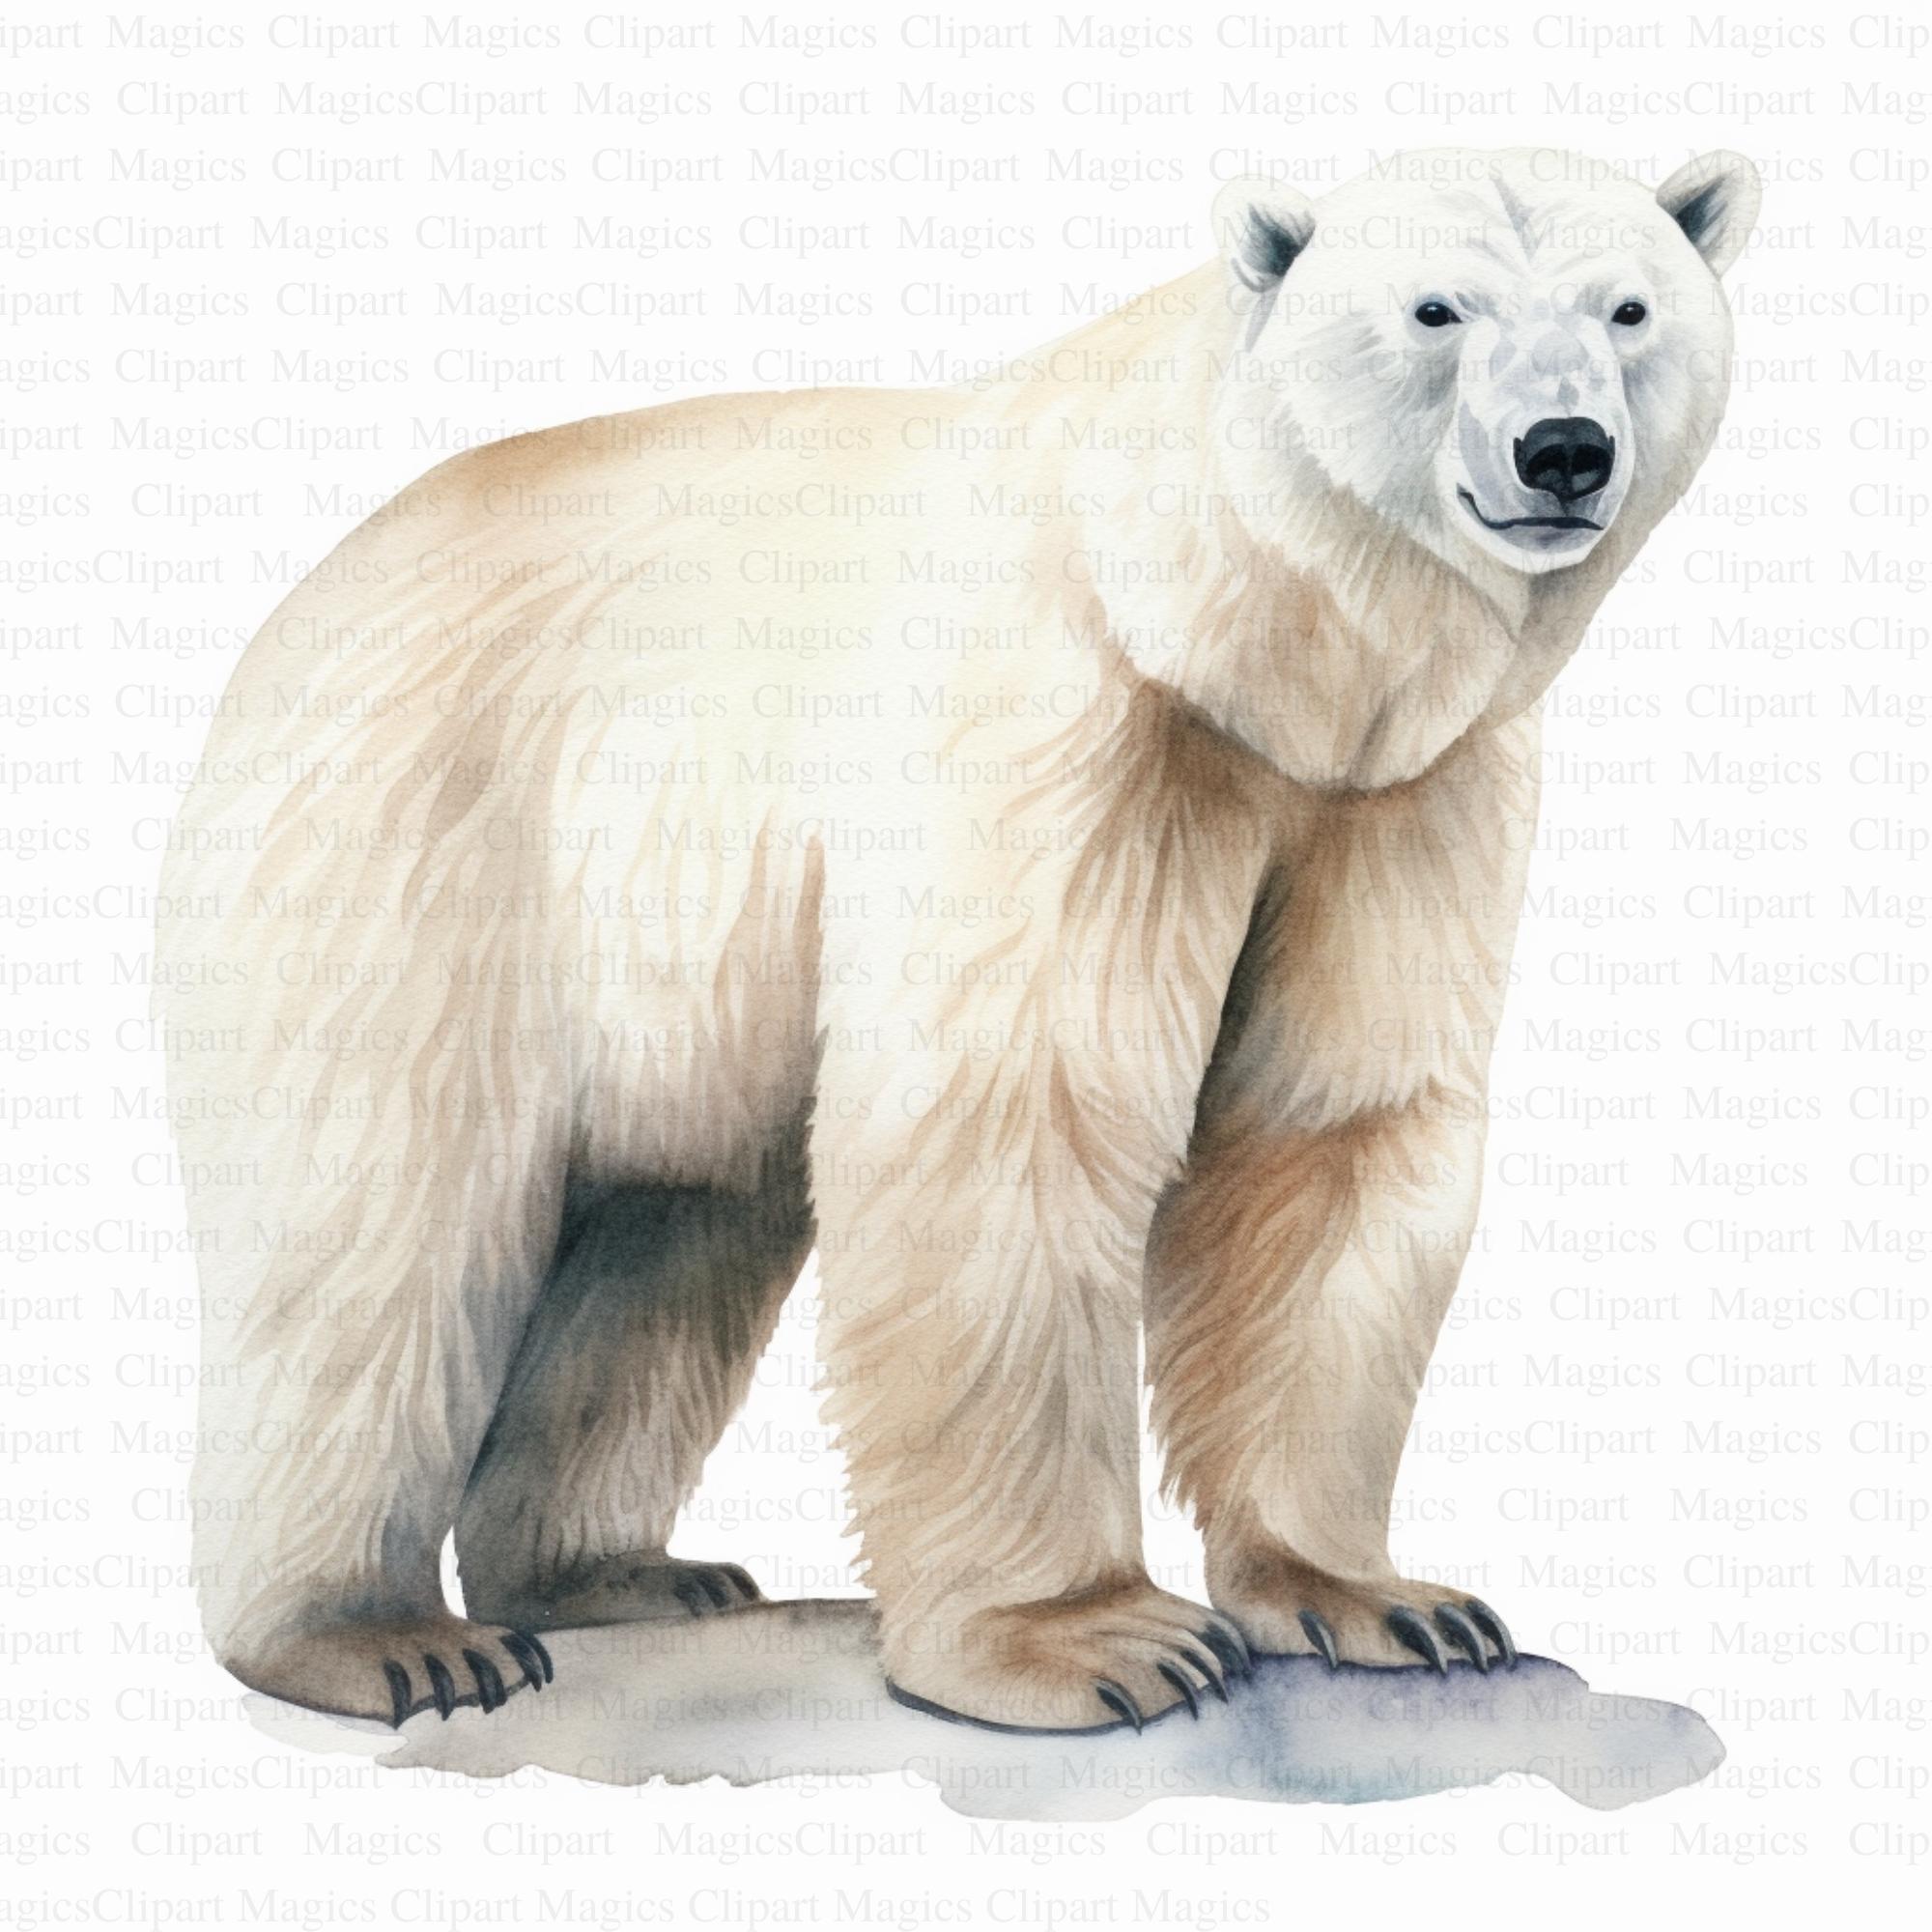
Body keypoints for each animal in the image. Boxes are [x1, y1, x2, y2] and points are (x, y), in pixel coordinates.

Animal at [161, 147, 1760, 1732]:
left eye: (1628, 309)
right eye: (1436, 309)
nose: (1564, 450)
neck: (1255, 640)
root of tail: (300, 603)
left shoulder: (1394, 789)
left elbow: (1330, 1119)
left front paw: (1383, 1599)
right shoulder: (1071, 721)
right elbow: (1017, 1111)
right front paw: (1096, 1642)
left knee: (668, 1234)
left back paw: (616, 1571)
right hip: (431, 835)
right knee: (384, 1209)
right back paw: (381, 1637)